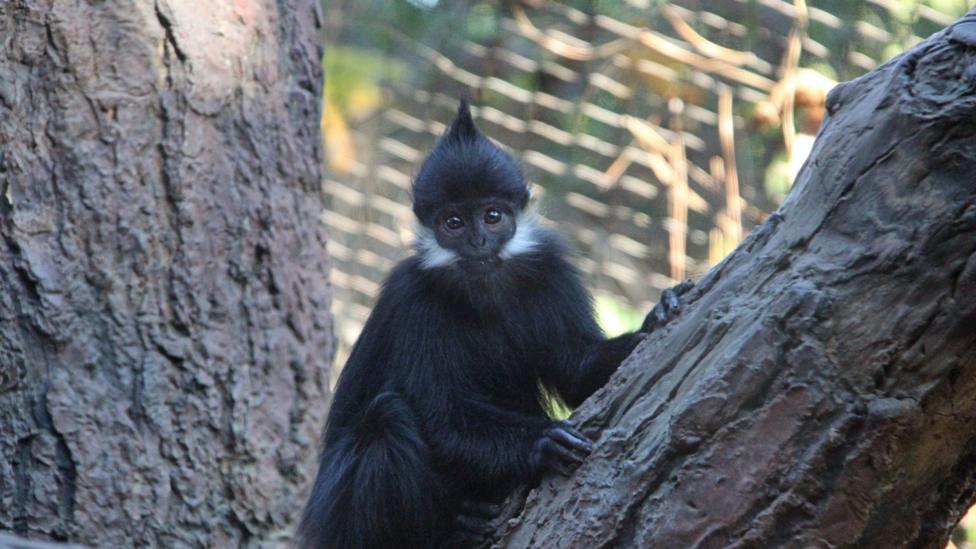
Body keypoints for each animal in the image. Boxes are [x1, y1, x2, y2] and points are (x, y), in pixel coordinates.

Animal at [298, 100, 691, 549]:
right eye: (453, 222)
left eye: (492, 216)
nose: (477, 243)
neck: (484, 289)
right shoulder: (412, 298)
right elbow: (443, 415)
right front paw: (542, 442)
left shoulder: (551, 269)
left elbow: (576, 369)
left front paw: (657, 316)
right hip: (337, 516)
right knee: (385, 419)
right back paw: (454, 528)